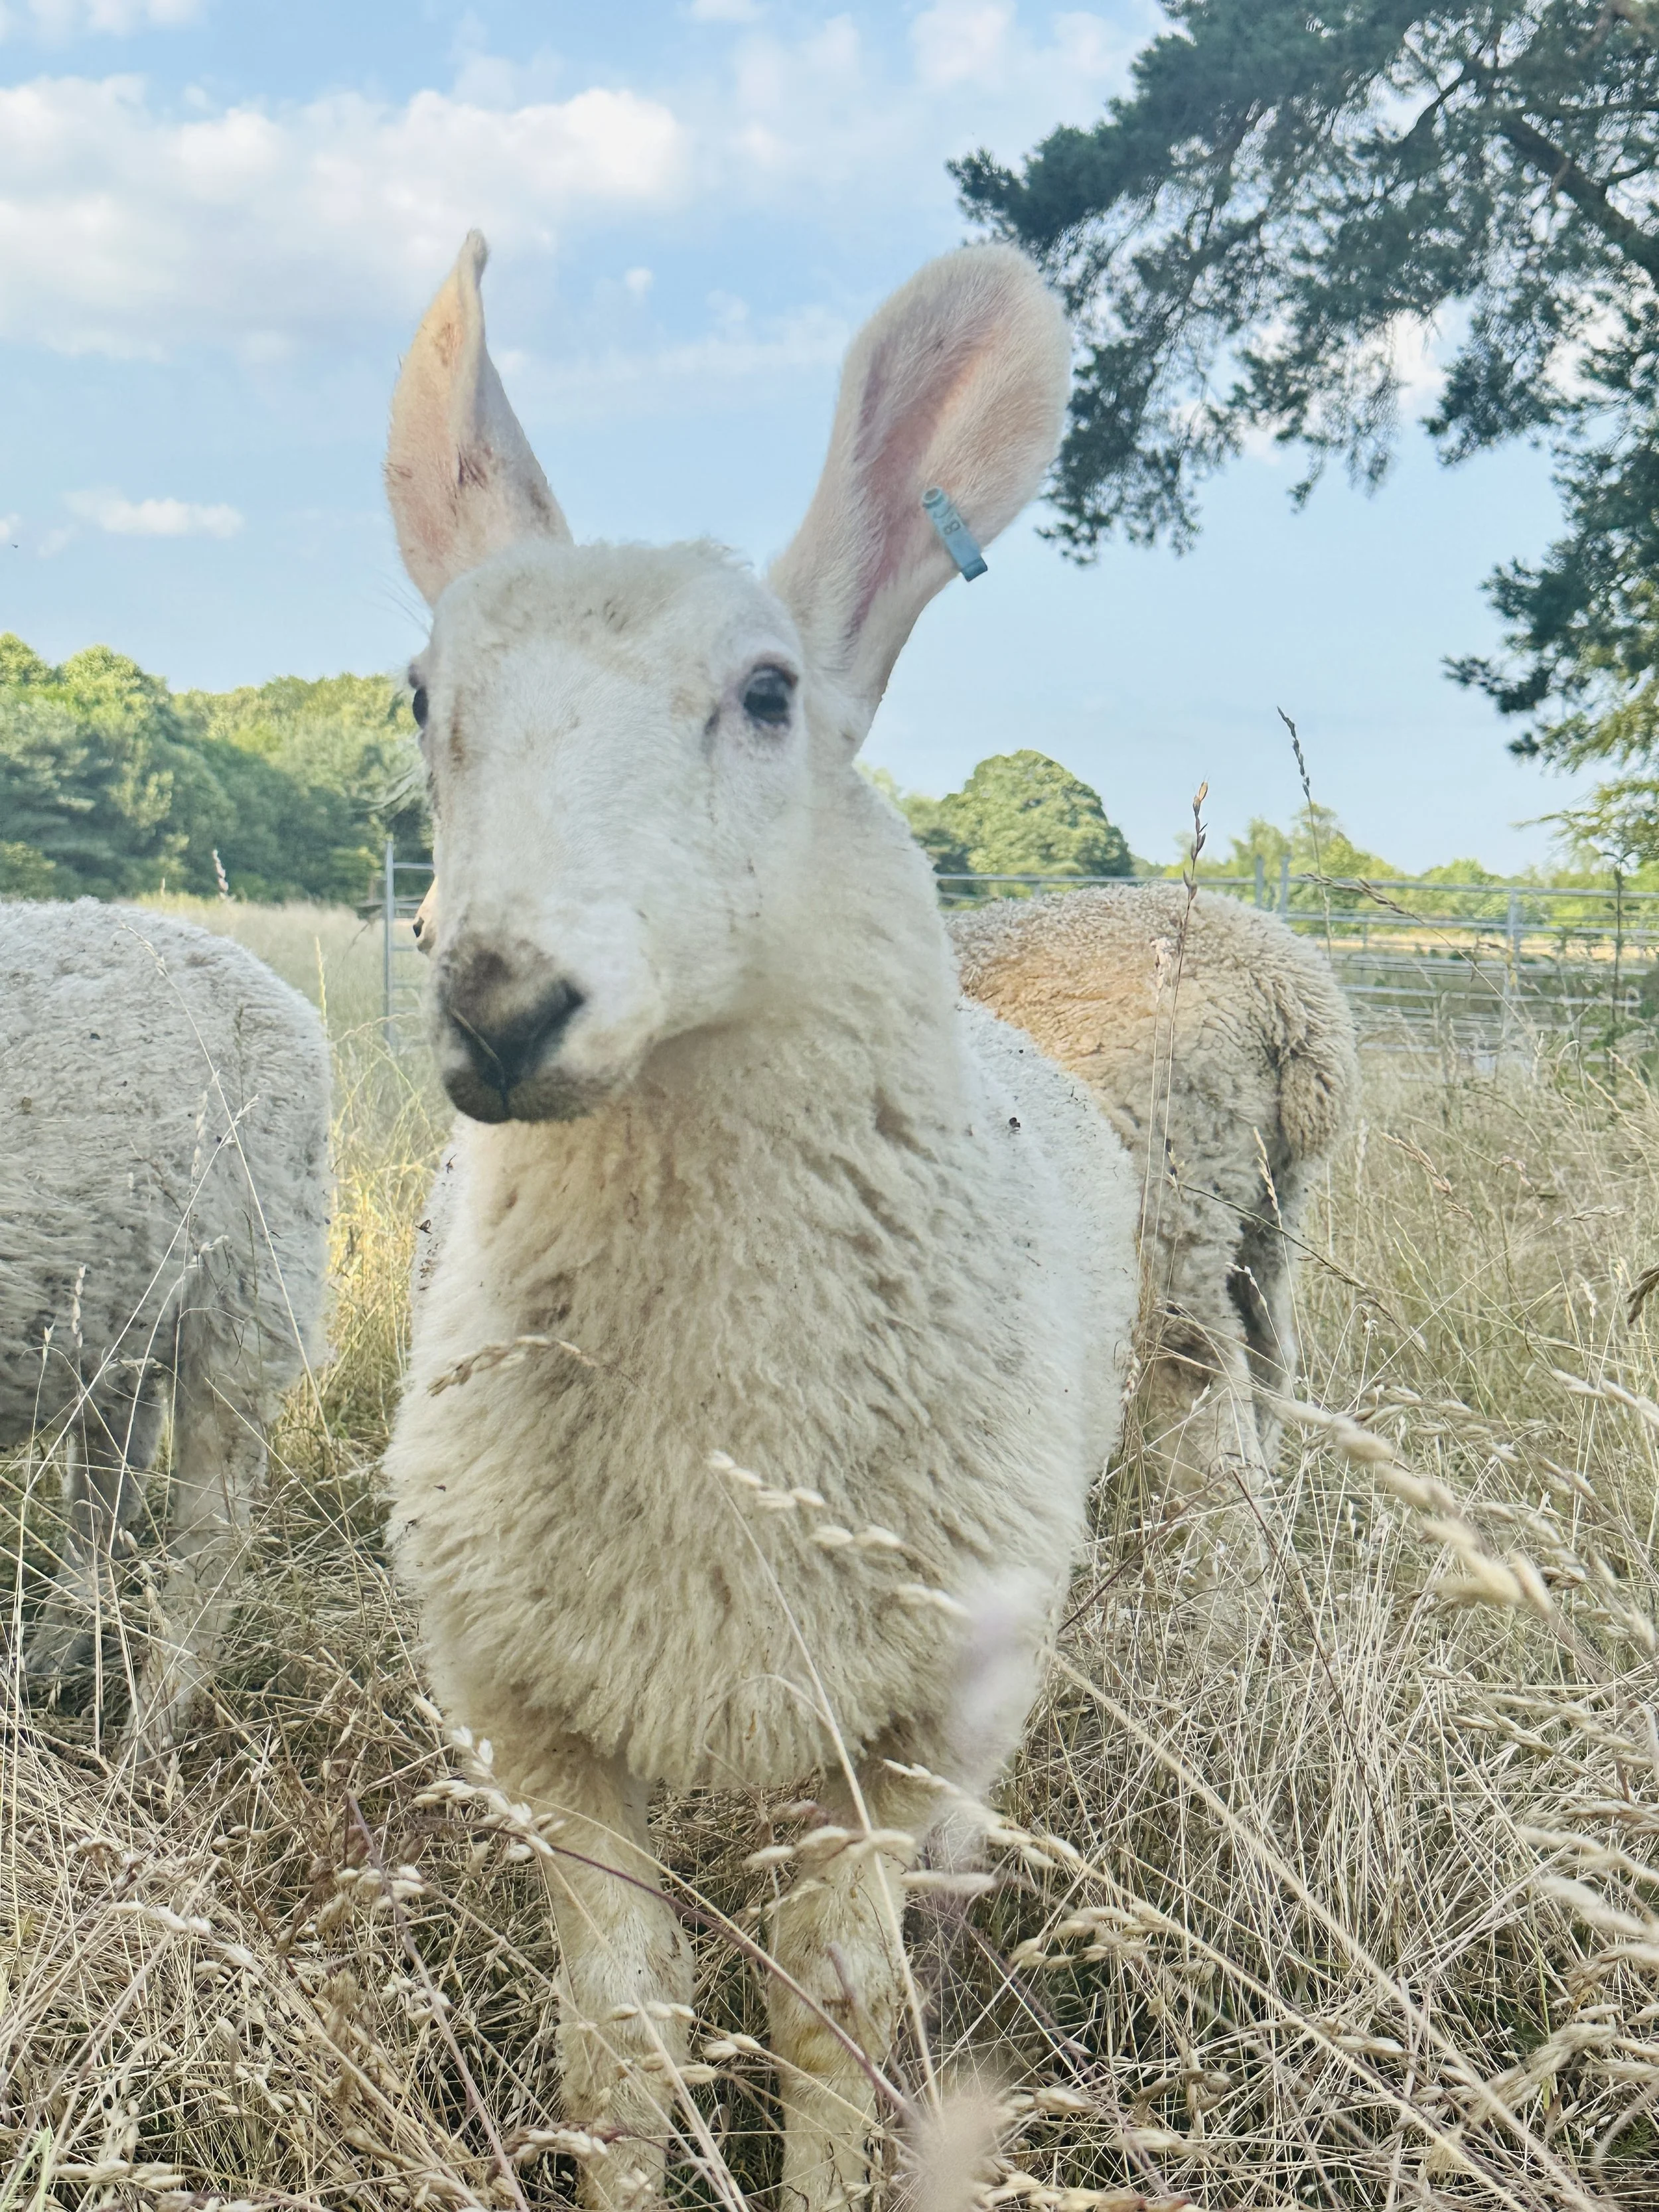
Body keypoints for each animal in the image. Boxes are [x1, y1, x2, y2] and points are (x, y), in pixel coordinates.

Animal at [2, 899, 330, 1756]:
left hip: (247, 1290)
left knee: (212, 1536)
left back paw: (144, 1742)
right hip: (110, 1320)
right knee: (103, 1501)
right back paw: (52, 1661)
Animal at [380, 233, 1142, 2212]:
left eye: (771, 692)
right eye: (421, 696)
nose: (501, 1003)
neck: (717, 1449)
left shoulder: (900, 1717)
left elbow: (827, 2018)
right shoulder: (529, 1708)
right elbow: (623, 2028)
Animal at [949, 886, 1358, 1607]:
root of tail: (1289, 998)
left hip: (1170, 1203)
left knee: (1203, 1380)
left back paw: (1229, 1583)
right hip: (1268, 1212)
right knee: (1270, 1357)